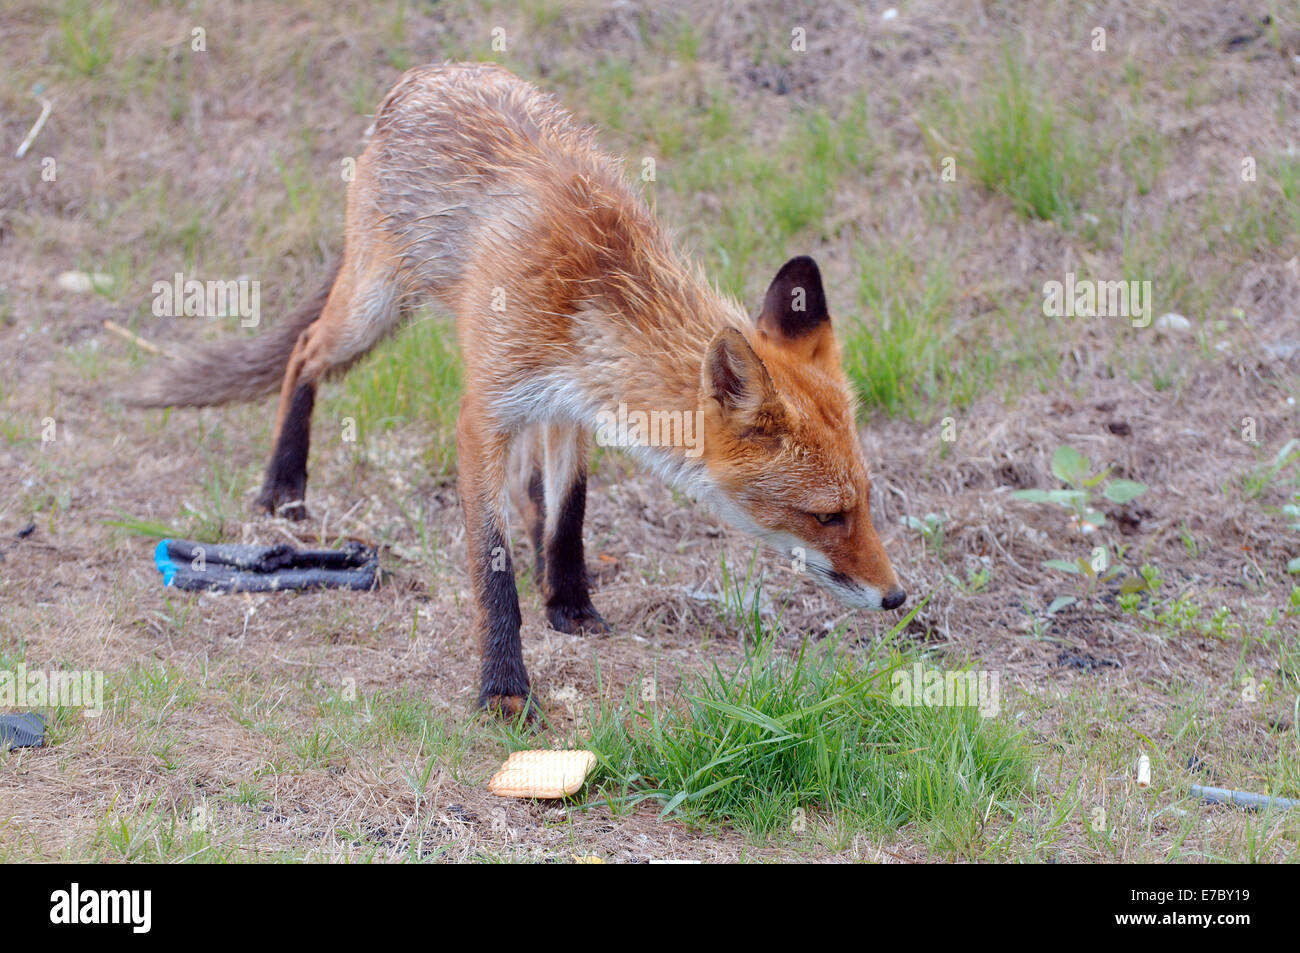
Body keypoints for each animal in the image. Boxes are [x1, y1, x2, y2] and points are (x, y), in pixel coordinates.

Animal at [128, 63, 907, 716]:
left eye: (866, 503)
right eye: (829, 516)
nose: (897, 596)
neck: (594, 289)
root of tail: (424, 76)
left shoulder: (574, 404)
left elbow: (569, 514)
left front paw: (568, 604)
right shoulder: (485, 415)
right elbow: (491, 564)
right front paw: (503, 685)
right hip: (374, 310)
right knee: (303, 352)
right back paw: (283, 483)